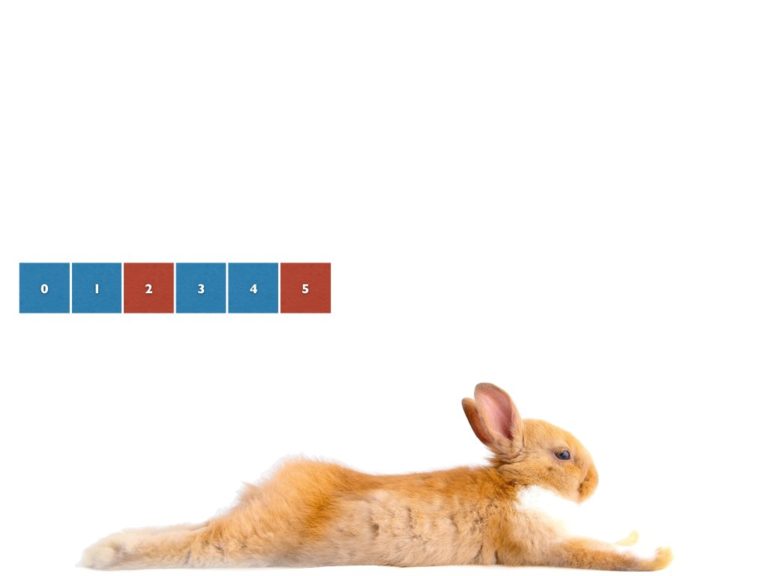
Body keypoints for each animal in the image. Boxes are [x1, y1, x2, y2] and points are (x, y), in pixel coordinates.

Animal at [81, 383, 671, 570]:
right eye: (564, 456)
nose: (594, 485)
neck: (514, 486)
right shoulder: (537, 546)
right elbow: (595, 554)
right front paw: (658, 557)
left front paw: (641, 537)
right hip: (246, 544)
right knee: (192, 545)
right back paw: (103, 555)